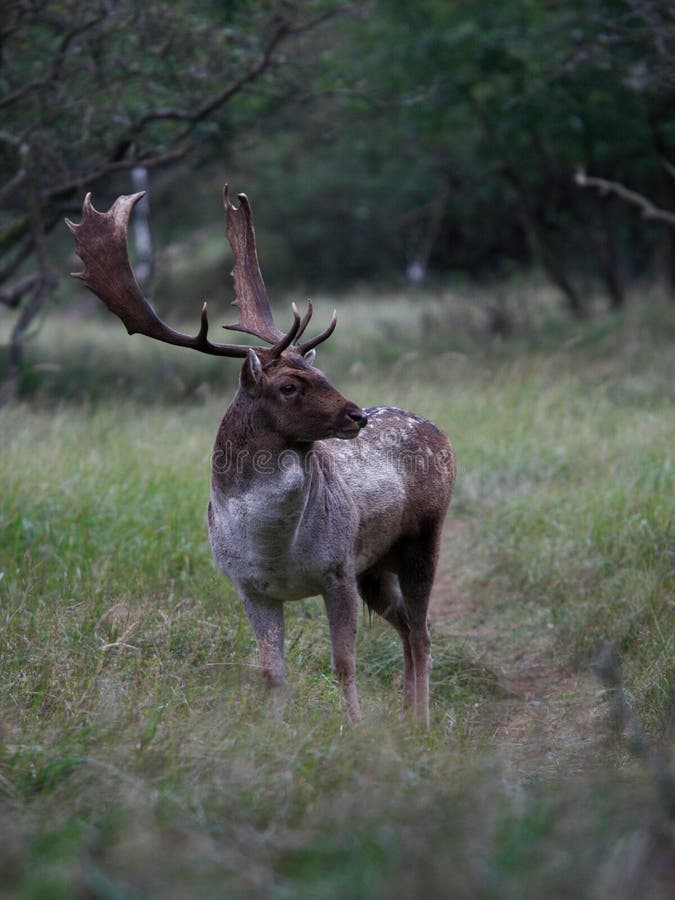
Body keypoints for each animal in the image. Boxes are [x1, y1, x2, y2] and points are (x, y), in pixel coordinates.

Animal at [66, 187, 455, 728]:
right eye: (290, 386)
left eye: (323, 374)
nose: (356, 415)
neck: (274, 548)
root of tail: (438, 430)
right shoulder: (251, 588)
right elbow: (272, 673)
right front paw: (275, 732)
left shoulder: (337, 569)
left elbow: (344, 663)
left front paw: (355, 729)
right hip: (375, 568)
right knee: (406, 627)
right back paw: (404, 716)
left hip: (422, 538)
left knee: (421, 631)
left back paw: (420, 722)